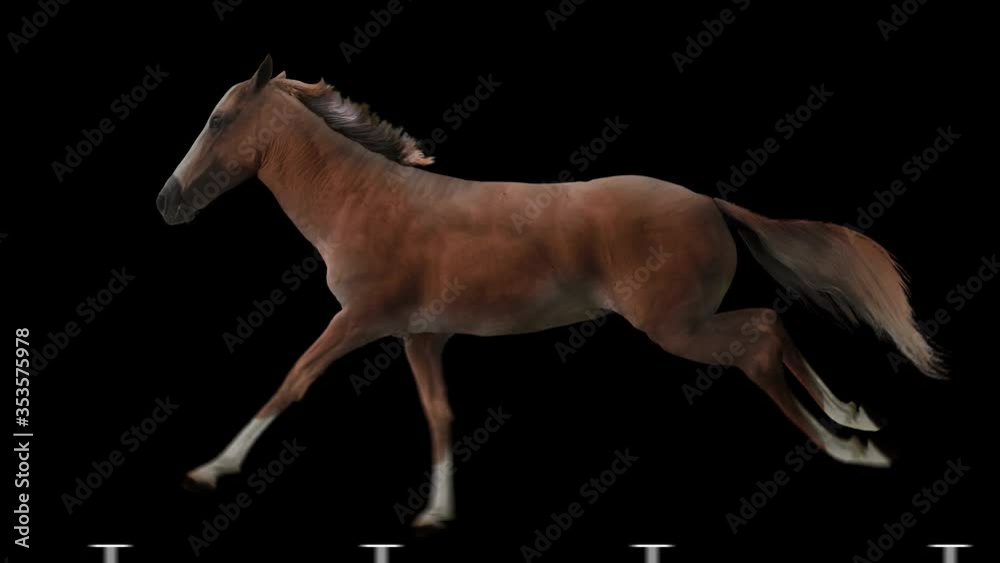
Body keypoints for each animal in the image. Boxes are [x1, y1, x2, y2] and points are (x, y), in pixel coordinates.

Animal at [156, 56, 945, 529]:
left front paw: (211, 468)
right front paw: (437, 513)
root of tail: (708, 202)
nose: (166, 202)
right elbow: (439, 415)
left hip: (675, 326)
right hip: (687, 319)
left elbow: (291, 381)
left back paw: (849, 448)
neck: (366, 202)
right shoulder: (420, 334)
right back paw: (853, 415)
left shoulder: (361, 319)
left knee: (756, 343)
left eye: (218, 118)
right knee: (771, 324)